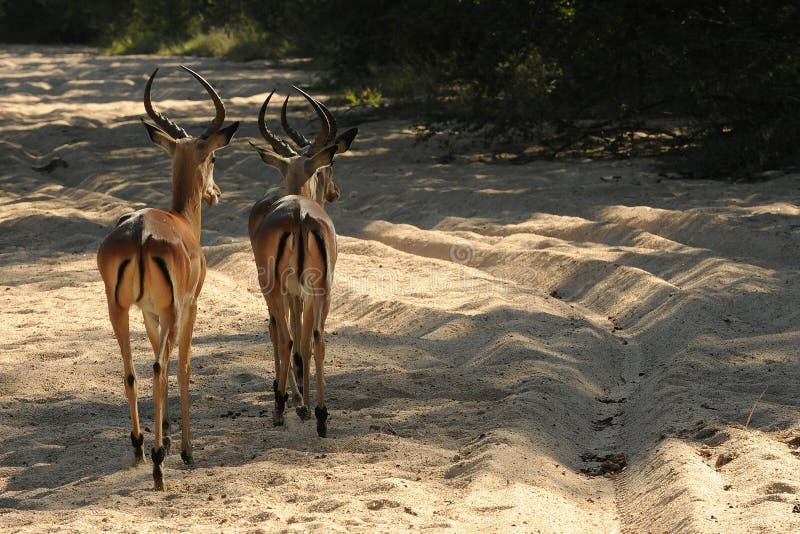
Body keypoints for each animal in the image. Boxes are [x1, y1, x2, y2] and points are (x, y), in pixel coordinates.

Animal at [97, 66, 239, 490]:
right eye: (213, 157)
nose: (215, 193)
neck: (182, 220)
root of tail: (142, 233)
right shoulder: (190, 305)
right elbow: (184, 366)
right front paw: (186, 449)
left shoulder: (149, 312)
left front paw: (169, 432)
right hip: (174, 310)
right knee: (161, 367)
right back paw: (160, 464)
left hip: (117, 310)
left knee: (130, 371)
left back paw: (141, 448)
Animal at [249, 86, 357, 437]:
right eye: (326, 169)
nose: (336, 192)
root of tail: (298, 214)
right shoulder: (305, 292)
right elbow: (305, 340)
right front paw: (304, 404)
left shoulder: (285, 291)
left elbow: (286, 335)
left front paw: (292, 400)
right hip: (321, 289)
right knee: (316, 339)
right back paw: (320, 415)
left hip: (278, 288)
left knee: (285, 337)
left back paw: (282, 409)